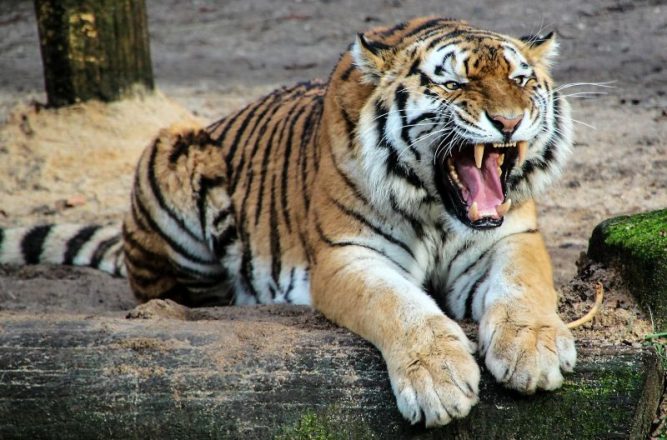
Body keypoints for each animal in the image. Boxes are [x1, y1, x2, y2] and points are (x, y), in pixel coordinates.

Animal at [0, 17, 576, 427]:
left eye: (520, 79)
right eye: (454, 83)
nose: (508, 122)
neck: (437, 209)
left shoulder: (511, 237)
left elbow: (523, 287)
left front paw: (533, 351)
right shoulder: (346, 255)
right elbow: (400, 306)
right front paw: (438, 379)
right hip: (173, 148)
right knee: (171, 293)